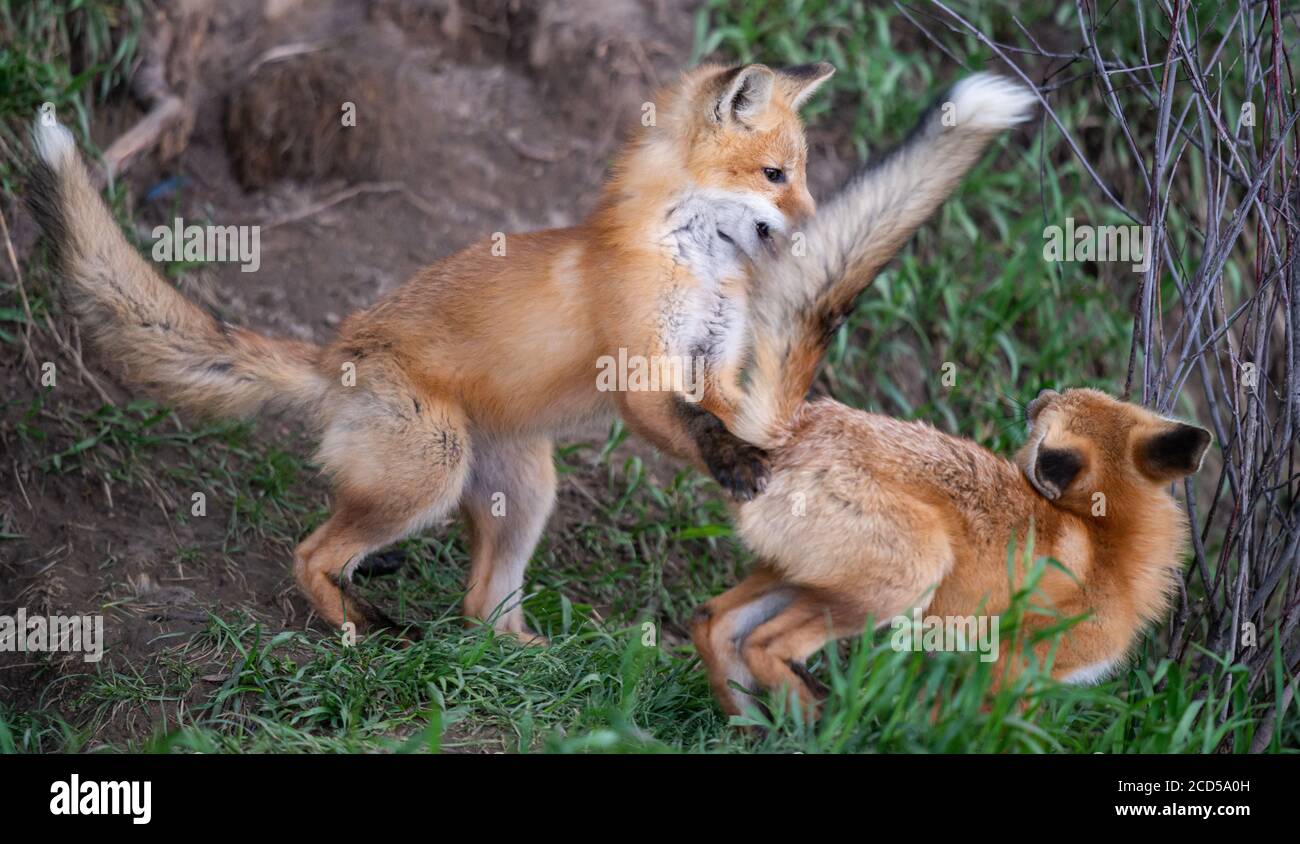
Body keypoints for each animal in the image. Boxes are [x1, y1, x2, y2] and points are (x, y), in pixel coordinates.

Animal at [25, 61, 836, 641]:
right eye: (776, 175)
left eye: (803, 174)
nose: (821, 229)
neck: (692, 262)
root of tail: (336, 353)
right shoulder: (638, 377)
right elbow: (698, 428)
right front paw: (739, 465)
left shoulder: (715, 366)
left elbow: (740, 415)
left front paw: (793, 444)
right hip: (432, 468)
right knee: (312, 556)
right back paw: (372, 631)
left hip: (524, 492)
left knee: (481, 607)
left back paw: (525, 661)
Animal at [688, 80, 1213, 719]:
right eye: (1049, 410)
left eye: (1065, 396)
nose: (1036, 395)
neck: (1104, 541)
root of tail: (797, 426)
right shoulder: (1012, 672)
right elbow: (966, 727)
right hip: (904, 580)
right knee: (766, 644)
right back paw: (820, 721)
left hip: (795, 577)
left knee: (713, 620)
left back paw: (756, 724)